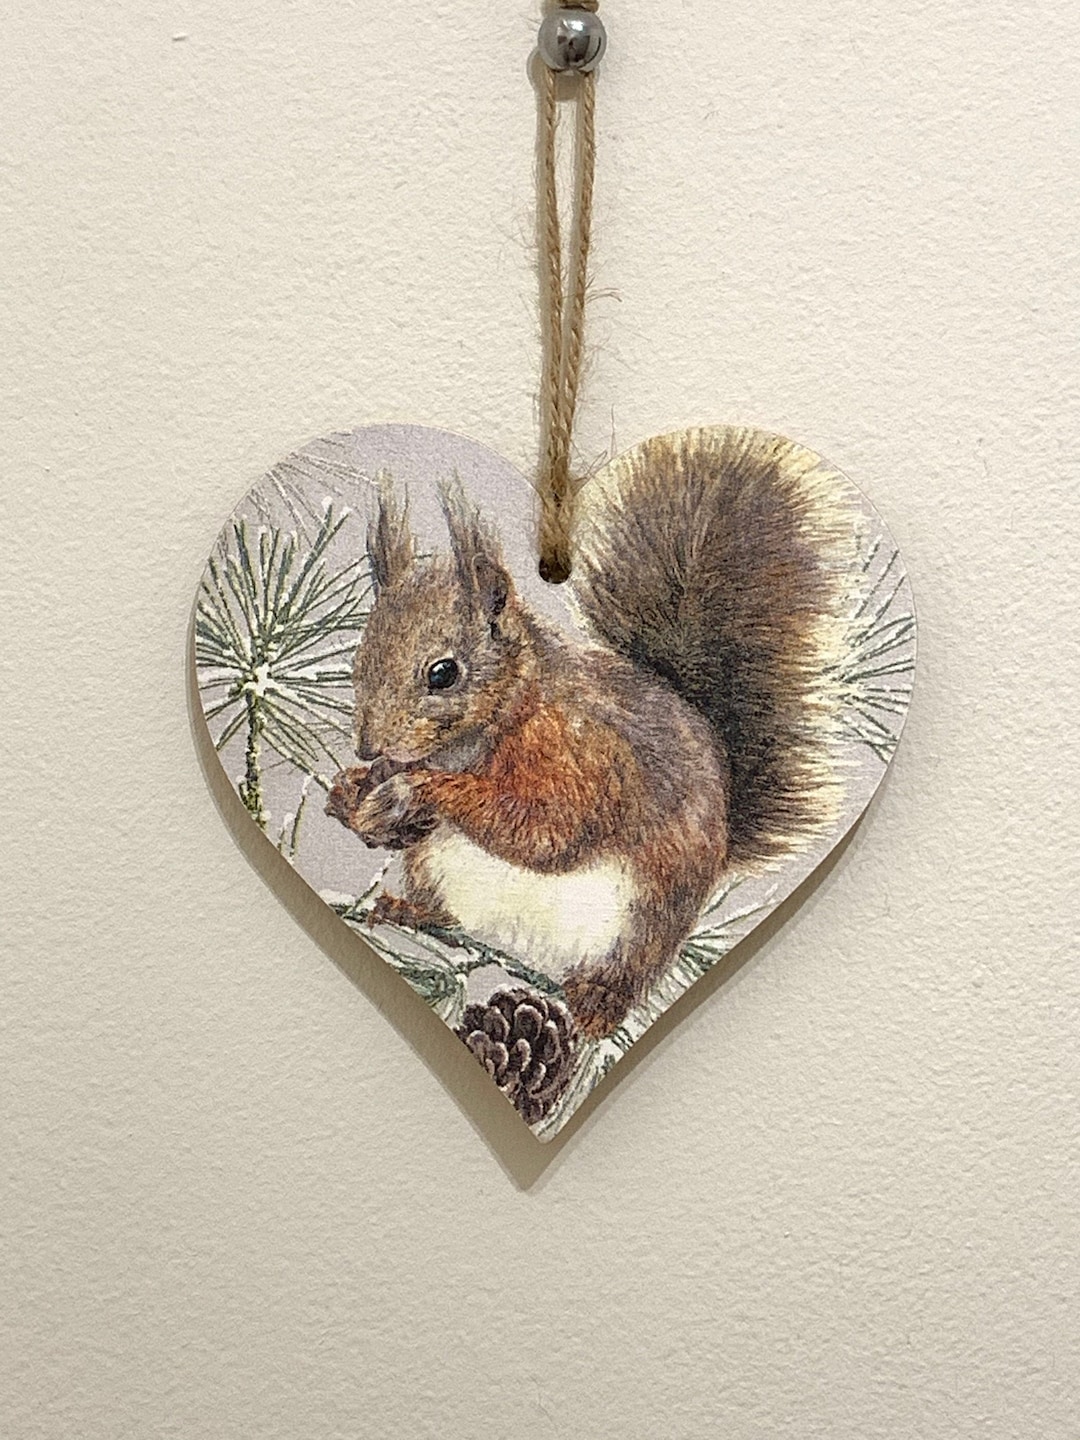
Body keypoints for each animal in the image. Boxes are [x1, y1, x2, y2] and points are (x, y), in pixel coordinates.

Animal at [326, 426, 851, 1039]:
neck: (487, 735)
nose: (368, 747)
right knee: (448, 912)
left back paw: (598, 1003)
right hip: (436, 871)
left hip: (641, 923)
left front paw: (418, 789)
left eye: (443, 673)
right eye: (358, 658)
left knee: (625, 973)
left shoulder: (585, 755)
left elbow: (545, 830)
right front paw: (350, 794)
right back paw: (408, 910)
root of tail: (522, 945)